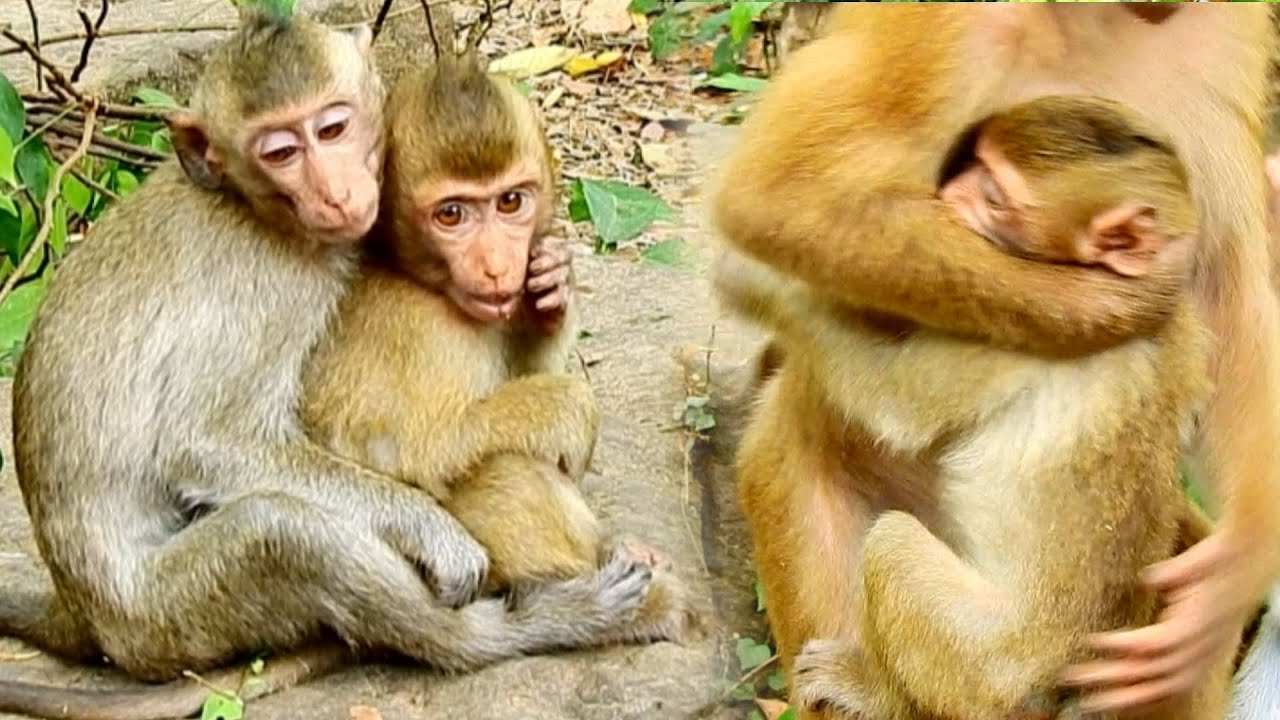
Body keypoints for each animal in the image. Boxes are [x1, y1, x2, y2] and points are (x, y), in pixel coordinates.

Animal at [300, 54, 695, 647]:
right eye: (451, 214)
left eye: (510, 201)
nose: (494, 265)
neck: (414, 276)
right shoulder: (415, 330)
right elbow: (414, 451)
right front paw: (569, 407)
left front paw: (553, 287)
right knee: (504, 472)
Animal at [708, 5, 1280, 715]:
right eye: (970, 169)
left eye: (996, 195)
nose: (954, 194)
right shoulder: (940, 26)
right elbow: (776, 196)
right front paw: (1108, 308)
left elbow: (1225, 283)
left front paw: (1236, 568)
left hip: (985, 661)